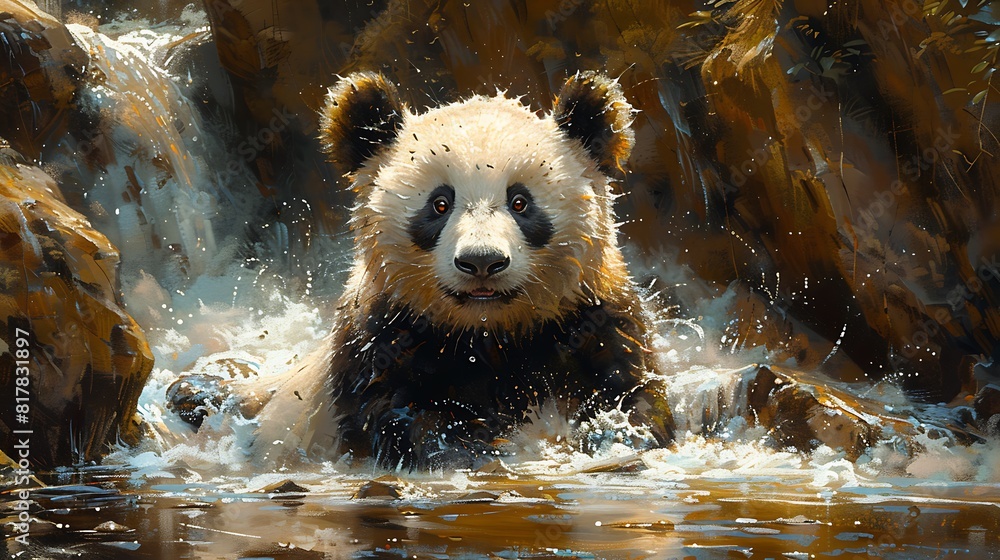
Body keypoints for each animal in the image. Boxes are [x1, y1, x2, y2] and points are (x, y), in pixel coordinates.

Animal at [254, 71, 674, 471]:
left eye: (520, 202)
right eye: (439, 204)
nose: (482, 261)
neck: (488, 332)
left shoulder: (590, 315)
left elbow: (631, 391)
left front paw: (613, 434)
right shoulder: (379, 339)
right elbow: (392, 417)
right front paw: (469, 446)